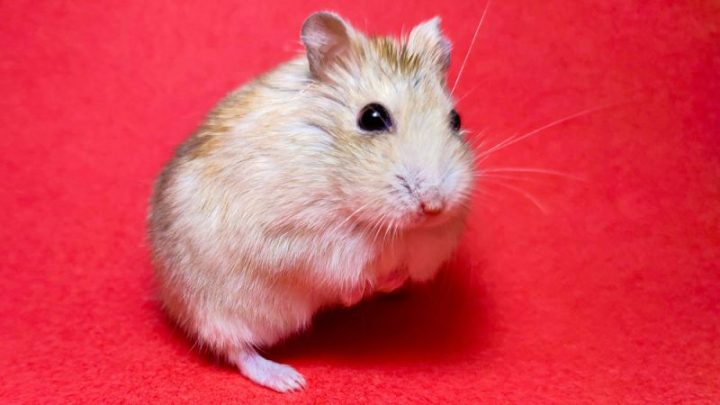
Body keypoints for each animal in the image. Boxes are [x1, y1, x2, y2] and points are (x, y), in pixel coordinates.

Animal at [148, 11, 474, 392]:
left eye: (456, 119)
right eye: (372, 117)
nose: (434, 207)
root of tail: (169, 294)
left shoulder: (428, 245)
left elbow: (404, 268)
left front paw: (390, 283)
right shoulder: (299, 244)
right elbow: (340, 273)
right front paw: (359, 292)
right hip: (215, 306)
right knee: (236, 349)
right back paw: (288, 380)